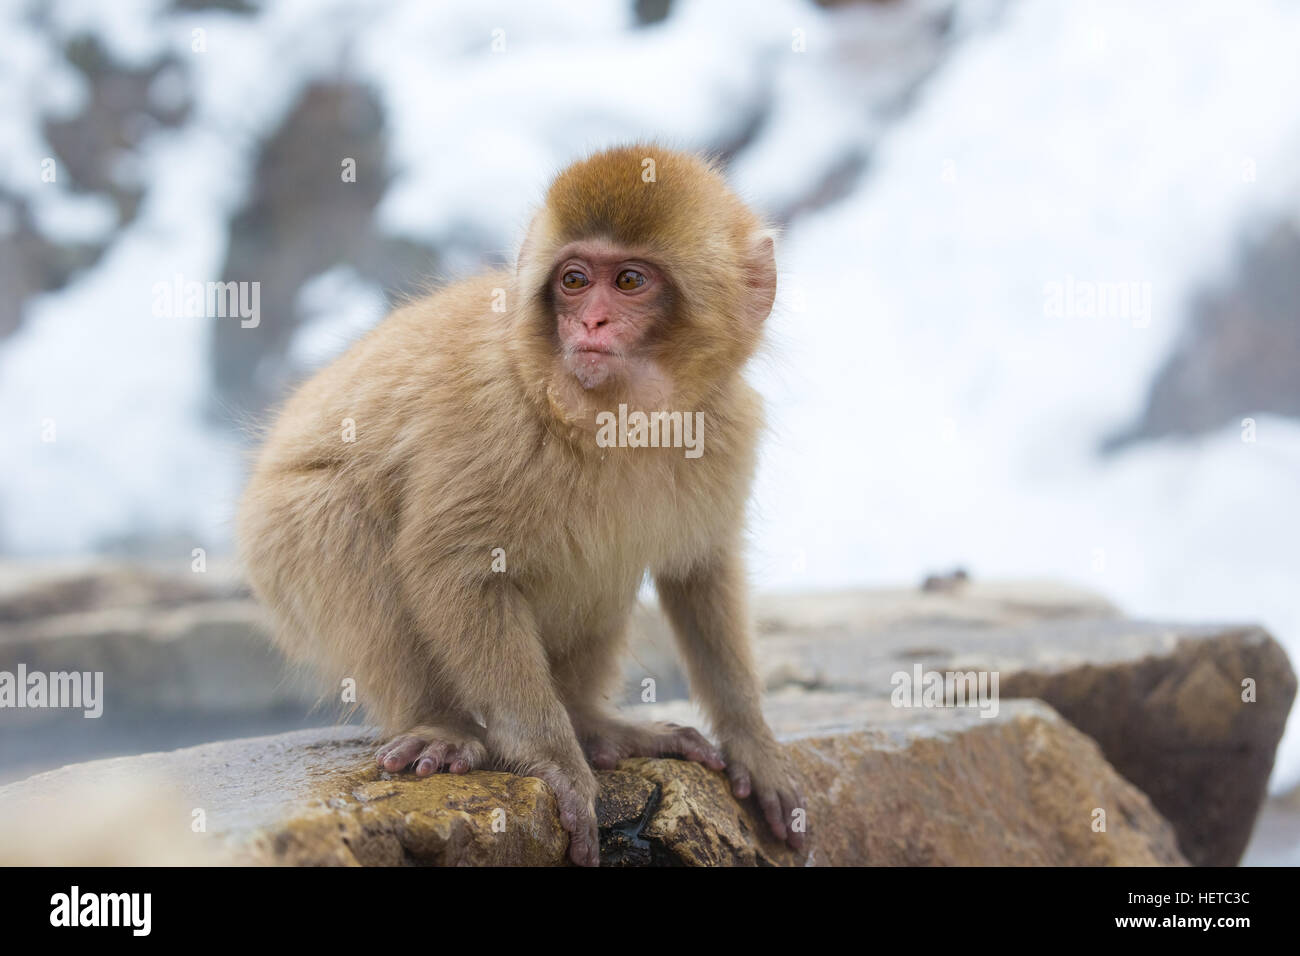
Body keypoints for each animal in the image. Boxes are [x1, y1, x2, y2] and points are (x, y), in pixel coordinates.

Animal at [237, 145, 805, 866]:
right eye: (573, 280)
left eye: (628, 281)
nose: (589, 322)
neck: (617, 419)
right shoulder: (492, 416)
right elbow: (455, 567)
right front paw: (553, 763)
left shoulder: (725, 427)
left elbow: (701, 569)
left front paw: (753, 743)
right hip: (273, 542)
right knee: (334, 512)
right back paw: (443, 725)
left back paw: (594, 724)